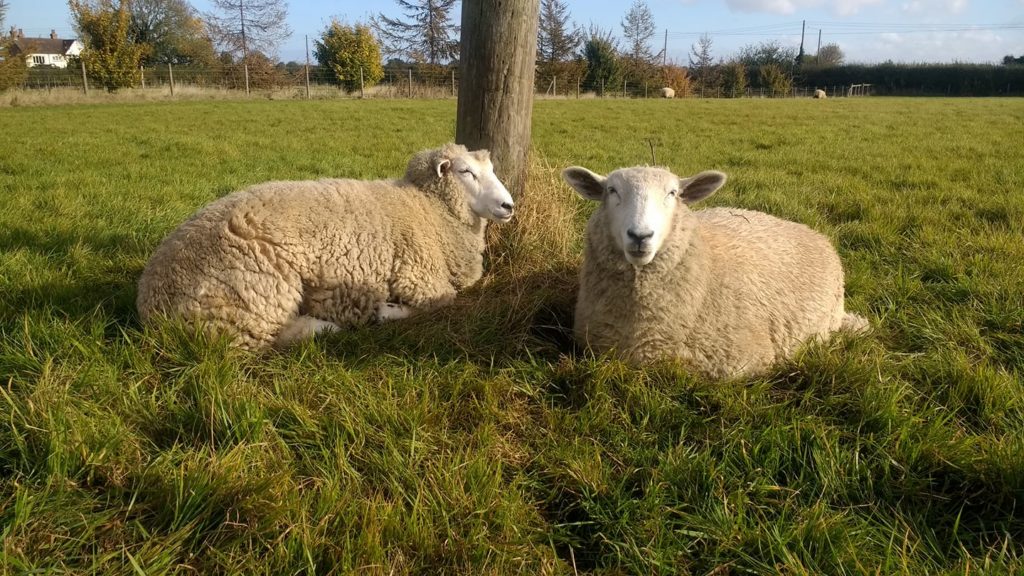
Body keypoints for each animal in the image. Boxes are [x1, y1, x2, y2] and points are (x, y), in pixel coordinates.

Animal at [137, 143, 515, 349]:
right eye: (466, 172)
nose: (509, 206)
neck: (426, 206)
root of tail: (150, 300)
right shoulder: (418, 276)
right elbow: (441, 301)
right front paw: (386, 311)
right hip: (253, 294)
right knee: (262, 340)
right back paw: (323, 327)